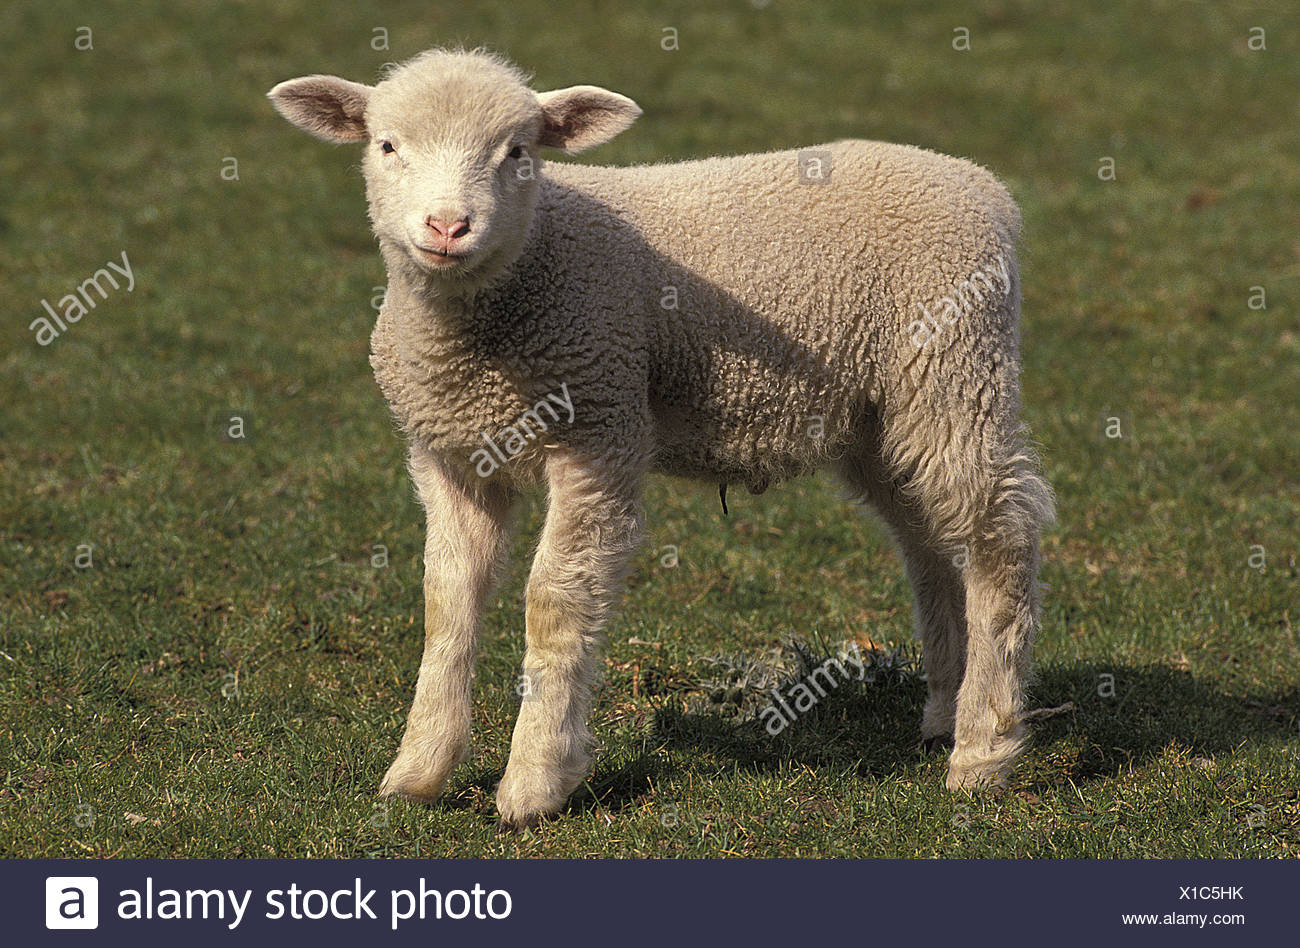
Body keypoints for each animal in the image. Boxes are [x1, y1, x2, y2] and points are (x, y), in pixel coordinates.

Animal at [268, 47, 1054, 828]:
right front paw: (419, 770)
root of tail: (986, 189)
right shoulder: (451, 453)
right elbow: (446, 599)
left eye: (518, 152)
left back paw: (983, 750)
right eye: (386, 146)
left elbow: (556, 600)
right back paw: (944, 714)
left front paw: (535, 782)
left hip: (956, 371)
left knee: (999, 537)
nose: (447, 227)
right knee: (932, 545)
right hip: (883, 419)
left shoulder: (599, 427)